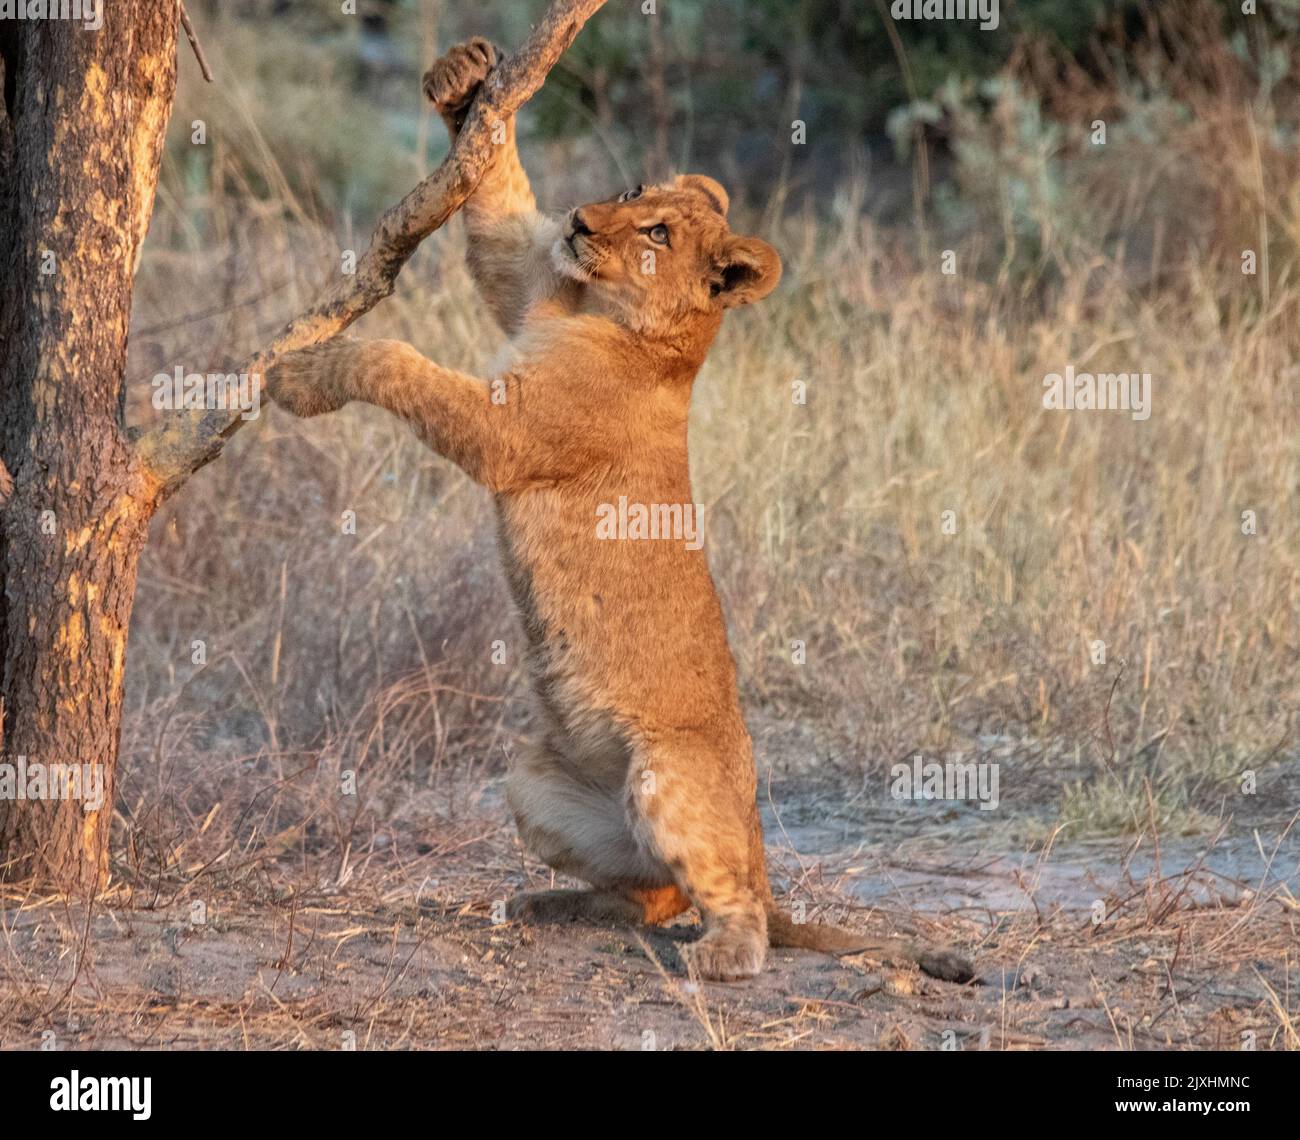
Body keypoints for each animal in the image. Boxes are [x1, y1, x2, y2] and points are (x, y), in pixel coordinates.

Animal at [267, 38, 973, 984]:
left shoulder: (510, 429)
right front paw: (463, 78)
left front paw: (299, 375)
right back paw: (540, 905)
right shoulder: (523, 280)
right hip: (532, 782)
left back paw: (722, 957)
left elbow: (394, 359)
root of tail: (764, 861)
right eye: (638, 192)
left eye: (658, 236)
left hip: (667, 778)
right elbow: (497, 216)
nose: (580, 220)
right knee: (651, 895)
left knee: (727, 900)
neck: (599, 312)